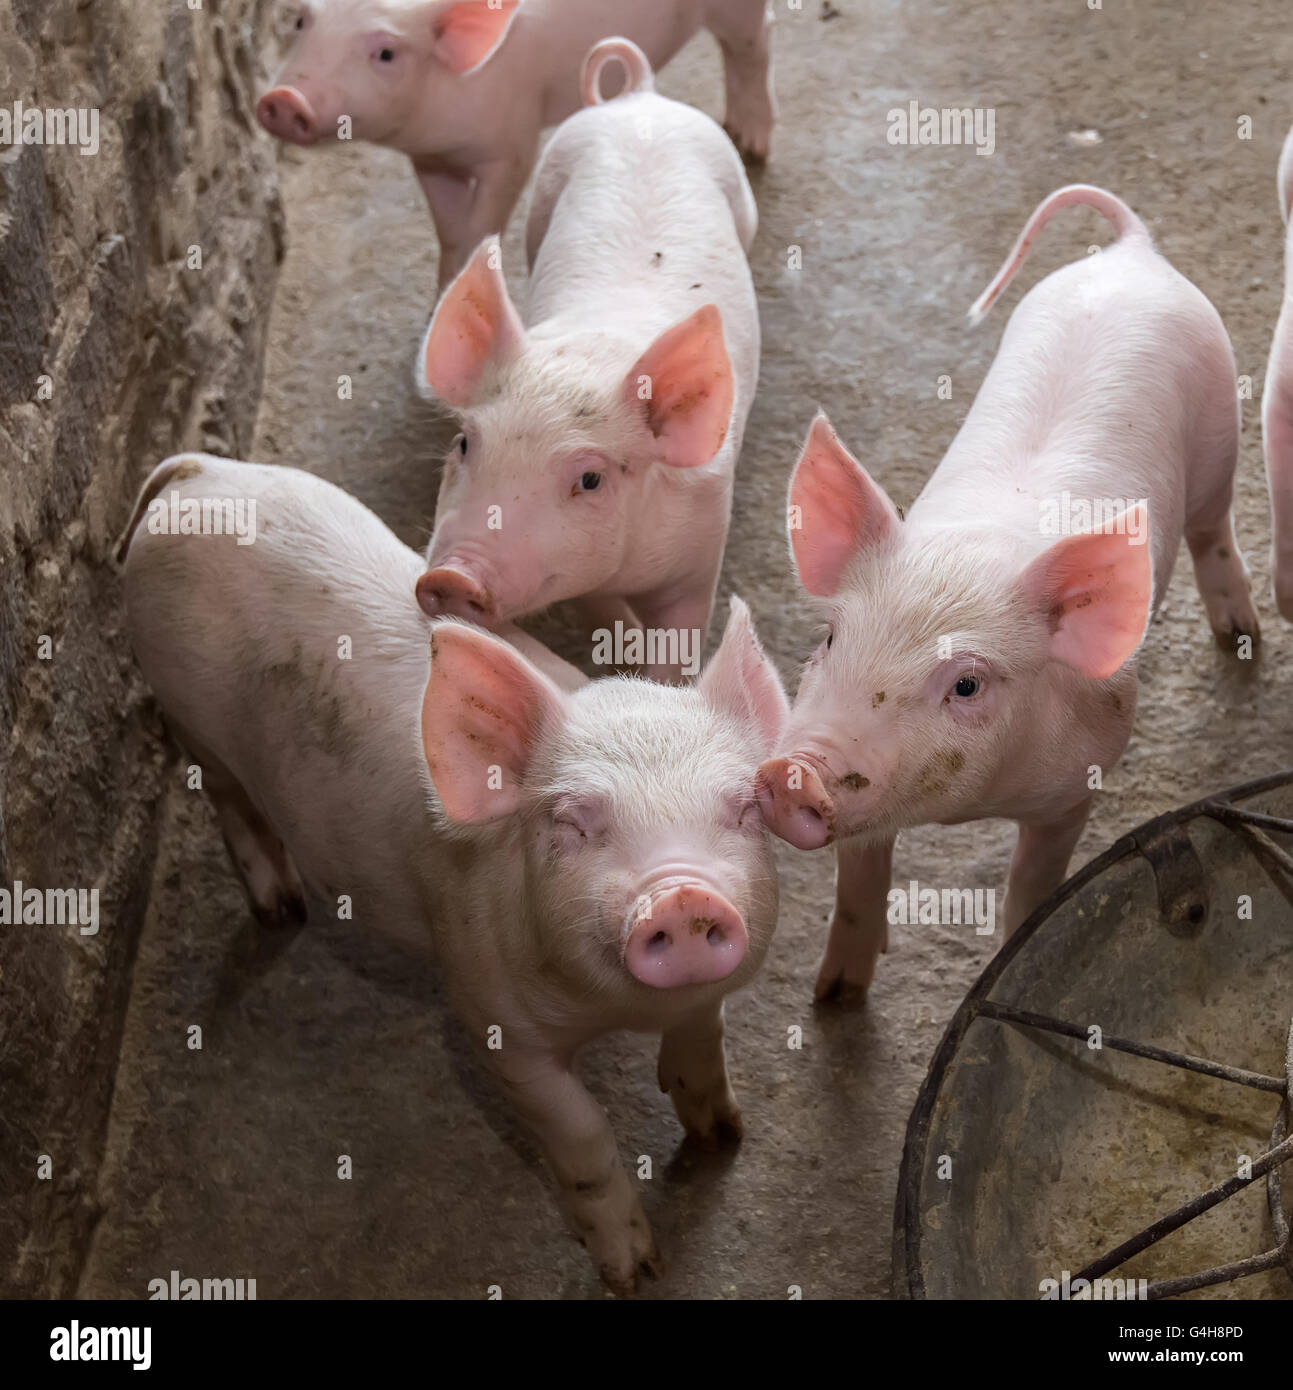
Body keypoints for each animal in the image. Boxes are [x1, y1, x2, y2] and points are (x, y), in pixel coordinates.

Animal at [120, 452, 788, 1295]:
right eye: (571, 822)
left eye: (743, 811)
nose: (683, 894)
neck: (615, 1010)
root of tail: (195, 473)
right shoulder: (489, 1013)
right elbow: (582, 1139)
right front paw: (634, 1271)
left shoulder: (702, 998)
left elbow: (703, 1045)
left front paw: (724, 1140)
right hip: (186, 713)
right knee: (229, 800)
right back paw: (280, 909)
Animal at [257, 0, 774, 288]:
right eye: (301, 23)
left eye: (385, 53)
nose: (284, 99)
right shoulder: (429, 159)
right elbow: (449, 233)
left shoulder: (512, 144)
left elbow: (479, 230)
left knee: (752, 43)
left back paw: (751, 145)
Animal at [413, 37, 760, 684]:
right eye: (465, 444)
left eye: (590, 478)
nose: (452, 576)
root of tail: (638, 95)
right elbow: (603, 606)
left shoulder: (702, 550)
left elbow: (680, 640)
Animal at [756, 183, 1259, 1001]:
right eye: (829, 638)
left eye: (966, 683)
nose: (791, 772)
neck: (968, 807)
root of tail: (1134, 250)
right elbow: (858, 882)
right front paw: (833, 997)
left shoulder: (1076, 786)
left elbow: (1034, 887)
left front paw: (1011, 967)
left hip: (1222, 438)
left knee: (1214, 530)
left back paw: (1241, 636)